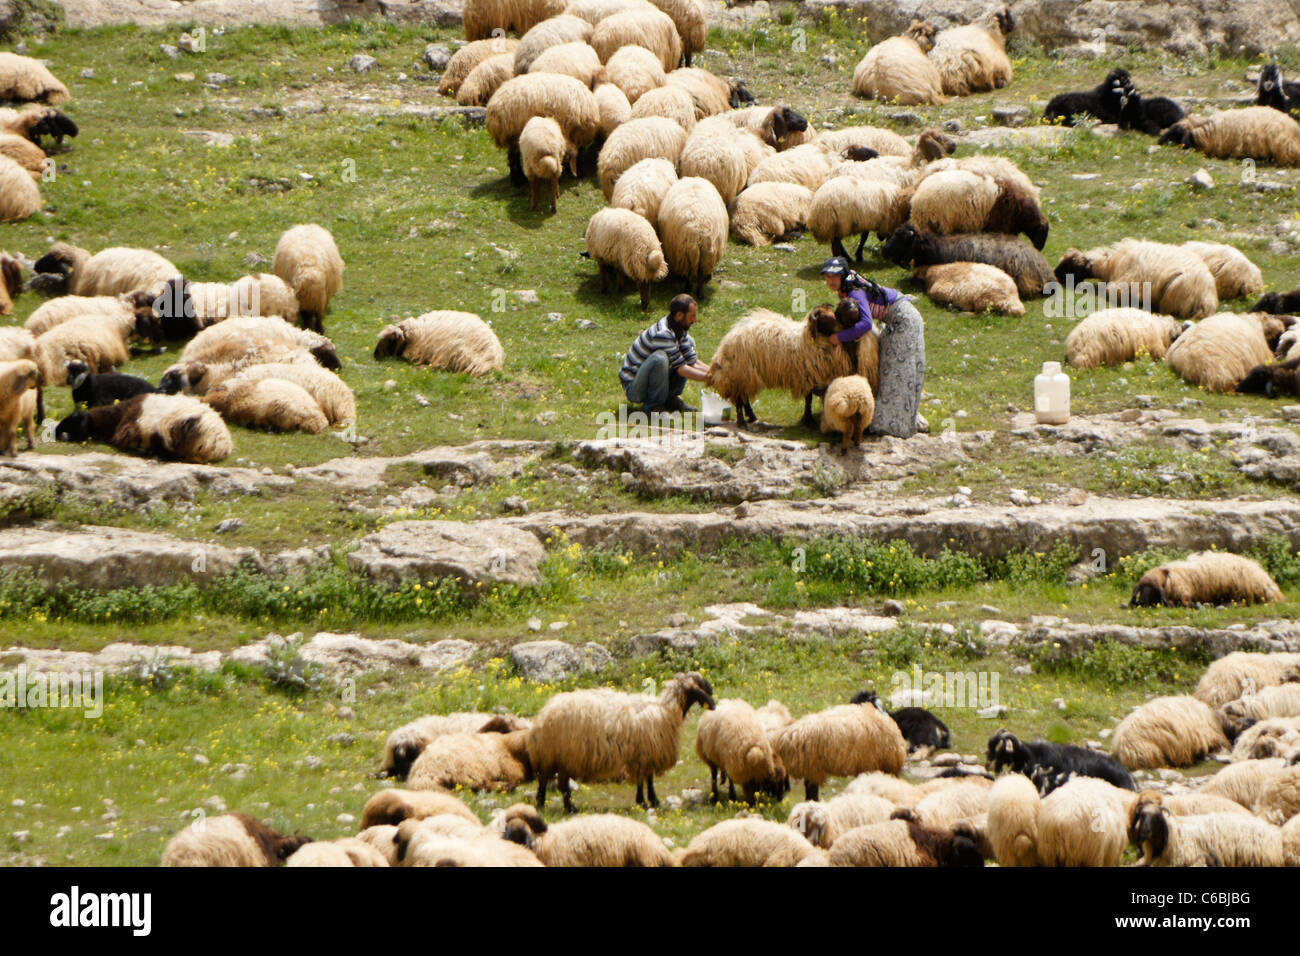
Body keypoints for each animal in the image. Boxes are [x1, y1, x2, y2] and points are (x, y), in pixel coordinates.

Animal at [527, 671, 715, 811]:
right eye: (701, 687)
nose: (713, 706)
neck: (668, 710)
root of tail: (544, 715)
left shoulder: (644, 754)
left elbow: (647, 779)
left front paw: (650, 801)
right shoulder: (645, 754)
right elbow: (645, 780)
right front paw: (646, 802)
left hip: (552, 755)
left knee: (546, 781)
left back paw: (543, 804)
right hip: (562, 754)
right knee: (560, 785)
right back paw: (568, 808)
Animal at [705, 305, 878, 429]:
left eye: (834, 314)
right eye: (825, 318)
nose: (844, 330)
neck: (809, 340)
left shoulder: (811, 377)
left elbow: (808, 398)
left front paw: (808, 420)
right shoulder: (808, 375)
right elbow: (808, 399)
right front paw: (808, 421)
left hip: (746, 376)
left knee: (744, 397)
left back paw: (752, 417)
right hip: (739, 374)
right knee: (739, 399)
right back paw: (742, 422)